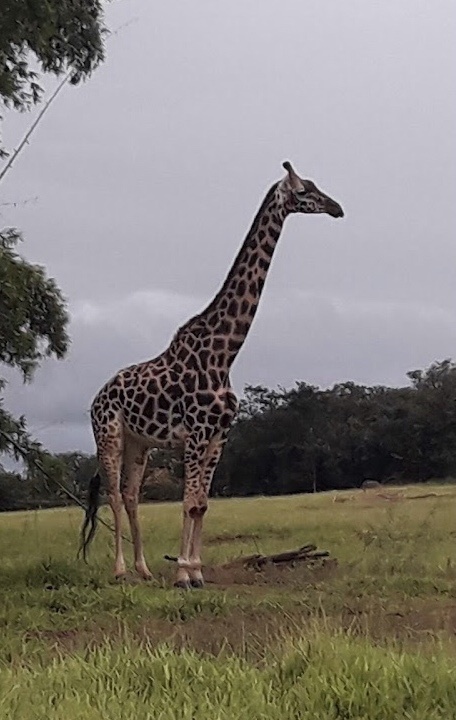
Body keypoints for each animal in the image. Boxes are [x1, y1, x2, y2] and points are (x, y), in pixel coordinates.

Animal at [80, 161, 344, 589]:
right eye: (305, 190)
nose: (338, 208)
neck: (224, 355)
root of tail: (95, 397)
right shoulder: (196, 434)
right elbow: (188, 503)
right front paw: (183, 574)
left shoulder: (220, 436)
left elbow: (202, 505)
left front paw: (196, 571)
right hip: (109, 435)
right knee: (114, 495)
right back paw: (120, 570)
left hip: (140, 443)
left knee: (132, 495)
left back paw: (143, 569)